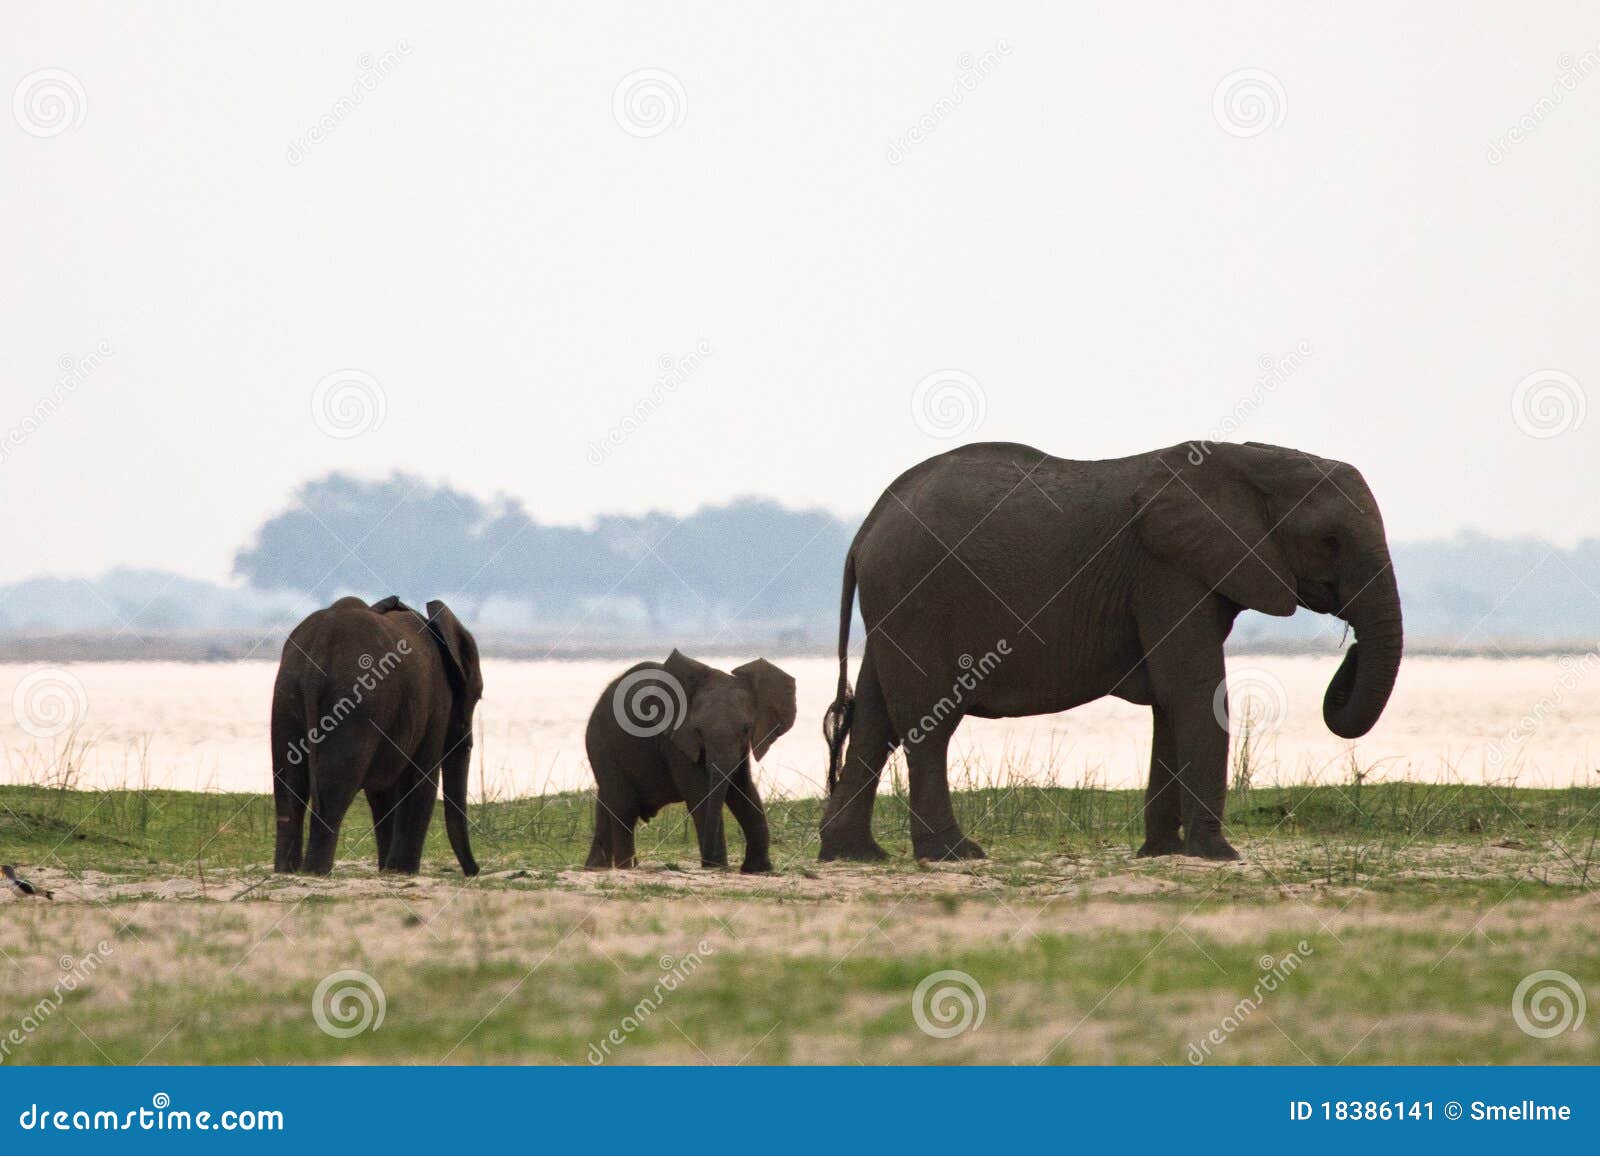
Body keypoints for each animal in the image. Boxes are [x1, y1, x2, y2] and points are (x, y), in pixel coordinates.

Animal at [271, 595, 483, 876]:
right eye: (477, 696)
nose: (475, 870)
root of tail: (319, 648)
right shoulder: (437, 704)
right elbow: (420, 779)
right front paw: (402, 871)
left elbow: (382, 793)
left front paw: (388, 871)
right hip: (354, 705)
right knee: (334, 789)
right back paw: (315, 873)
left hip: (286, 695)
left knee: (289, 789)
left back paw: (287, 871)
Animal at [585, 651, 797, 872]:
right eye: (698, 731)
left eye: (746, 729)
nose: (708, 862)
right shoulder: (675, 741)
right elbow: (699, 793)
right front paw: (716, 867)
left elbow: (743, 789)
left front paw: (758, 869)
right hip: (601, 745)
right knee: (623, 807)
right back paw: (626, 868)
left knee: (606, 804)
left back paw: (596, 867)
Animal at [819, 441, 1403, 862]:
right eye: (1330, 541)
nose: (1348, 650)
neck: (1255, 460)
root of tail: (864, 530)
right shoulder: (1168, 571)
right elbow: (1192, 688)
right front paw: (1218, 855)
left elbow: (1171, 699)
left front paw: (1163, 852)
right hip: (918, 599)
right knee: (928, 722)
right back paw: (954, 855)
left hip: (896, 607)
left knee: (873, 719)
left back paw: (855, 856)